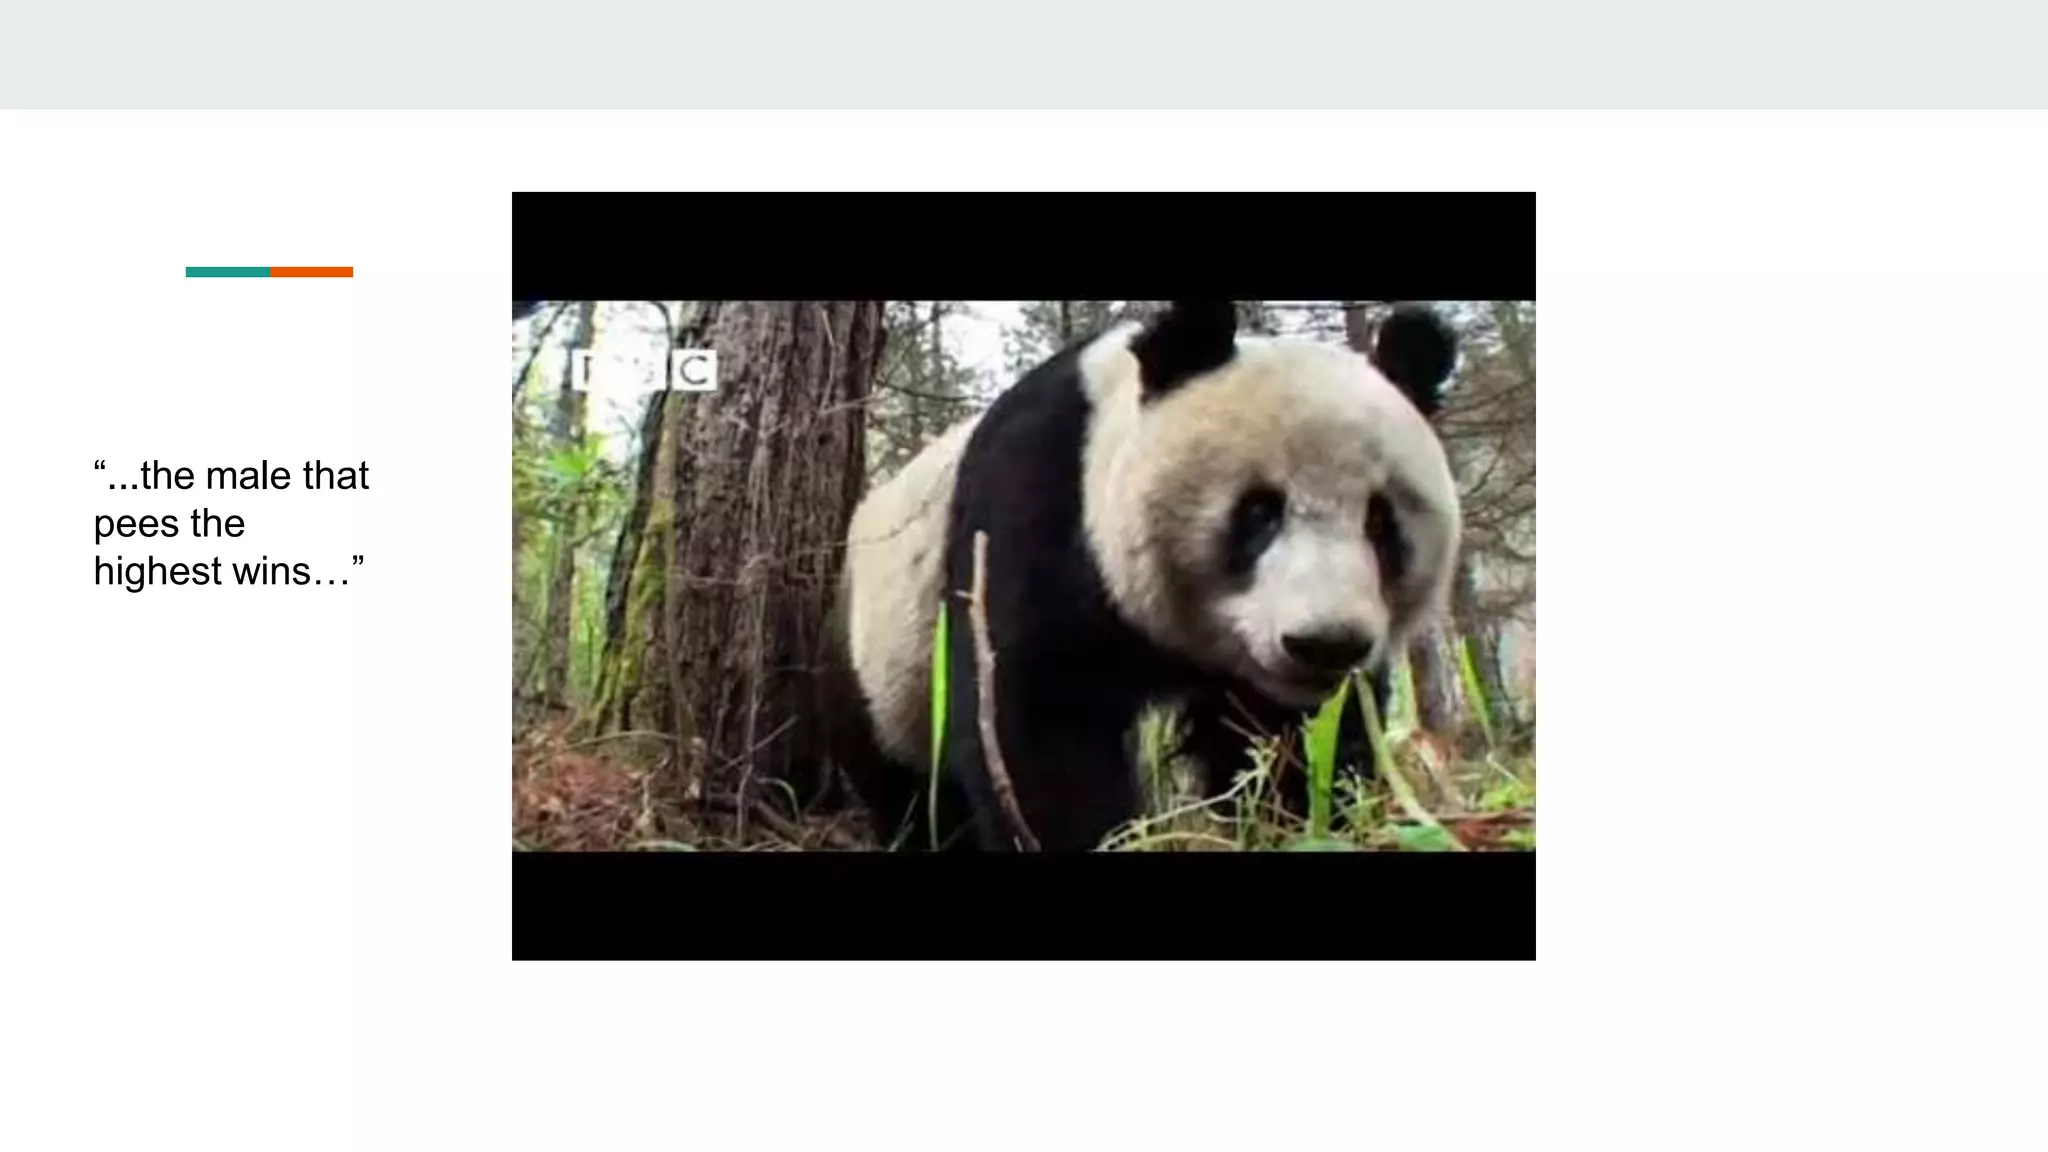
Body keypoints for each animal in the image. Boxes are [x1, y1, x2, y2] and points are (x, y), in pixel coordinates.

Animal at [825, 300, 1461, 852]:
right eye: (1259, 511)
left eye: (1380, 522)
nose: (1325, 644)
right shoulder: (1036, 505)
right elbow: (1038, 712)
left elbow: (1291, 738)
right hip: (878, 660)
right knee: (906, 783)